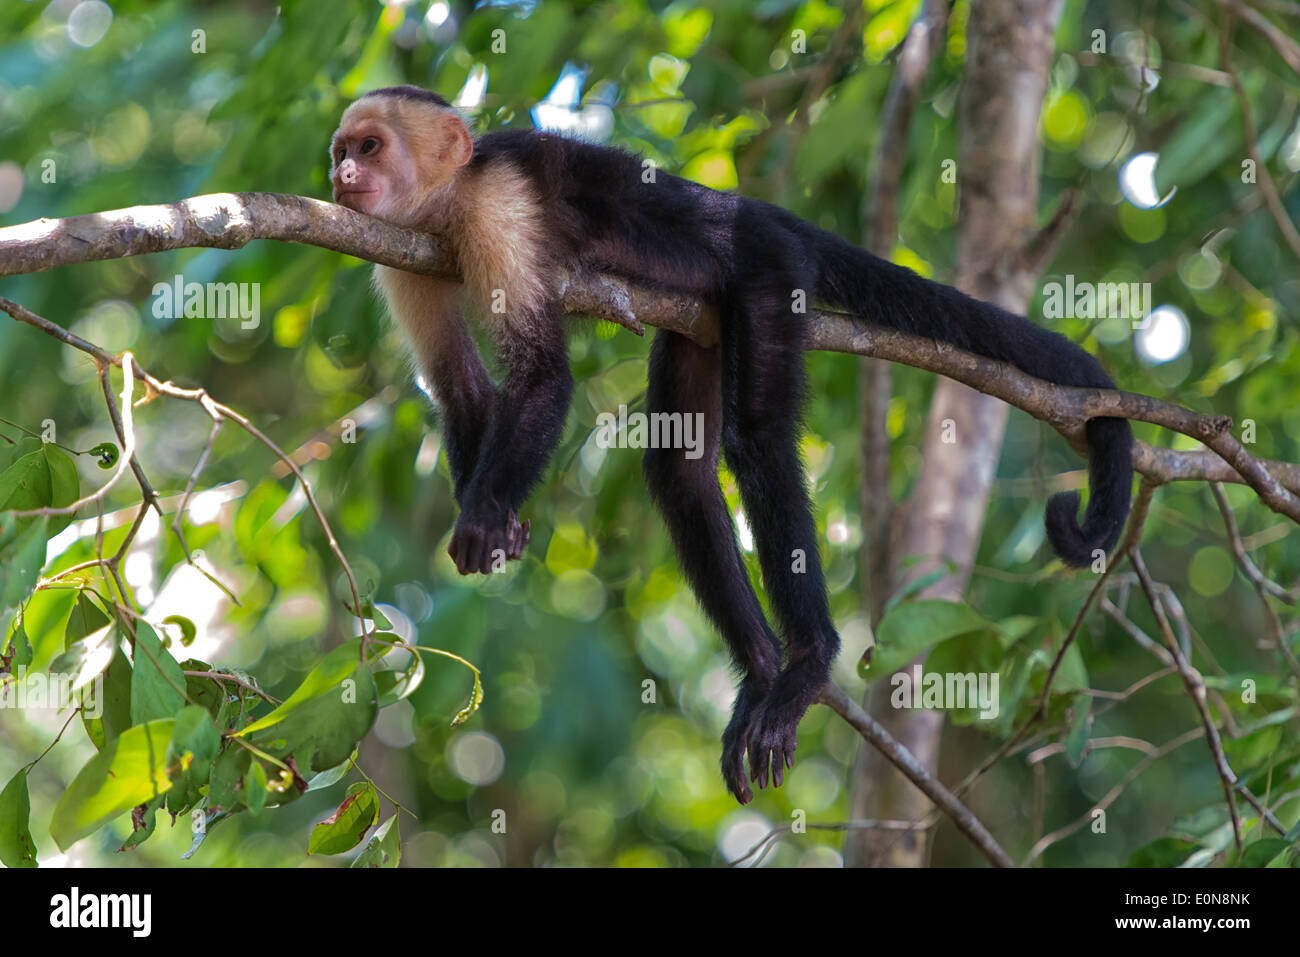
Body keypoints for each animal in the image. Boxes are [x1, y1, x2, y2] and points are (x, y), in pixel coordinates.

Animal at [330, 86, 1133, 804]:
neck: (447, 203)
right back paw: (761, 672)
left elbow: (541, 375)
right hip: (704, 317)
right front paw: (496, 523)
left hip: (772, 277)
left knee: (759, 443)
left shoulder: (498, 208)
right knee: (679, 470)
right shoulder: (403, 249)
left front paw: (484, 513)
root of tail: (770, 215)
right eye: (342, 150)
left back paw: (808, 662)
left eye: (369, 147)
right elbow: (462, 389)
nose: (339, 176)